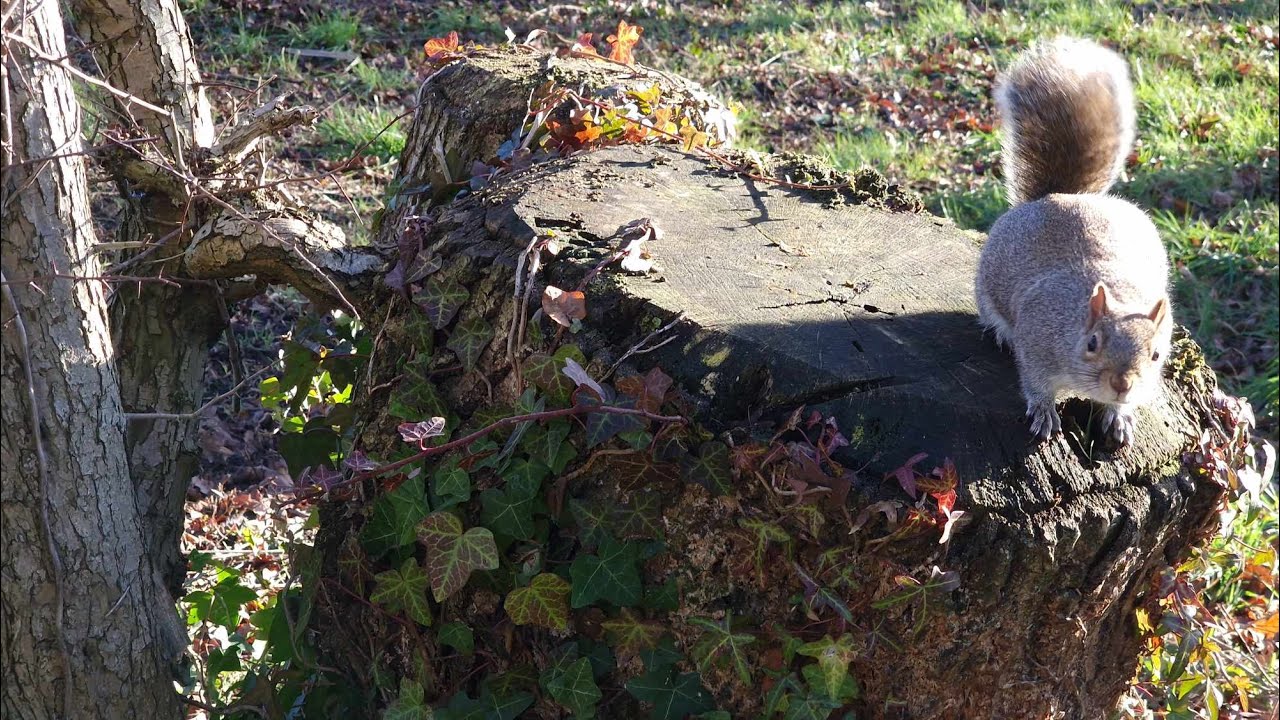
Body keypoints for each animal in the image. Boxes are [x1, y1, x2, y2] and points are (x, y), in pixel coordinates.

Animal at [975, 36, 1173, 447]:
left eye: (1156, 356)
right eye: (1092, 343)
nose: (1122, 385)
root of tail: (1061, 196)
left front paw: (1120, 415)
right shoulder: (1036, 343)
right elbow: (1035, 384)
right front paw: (1044, 411)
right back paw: (1001, 334)